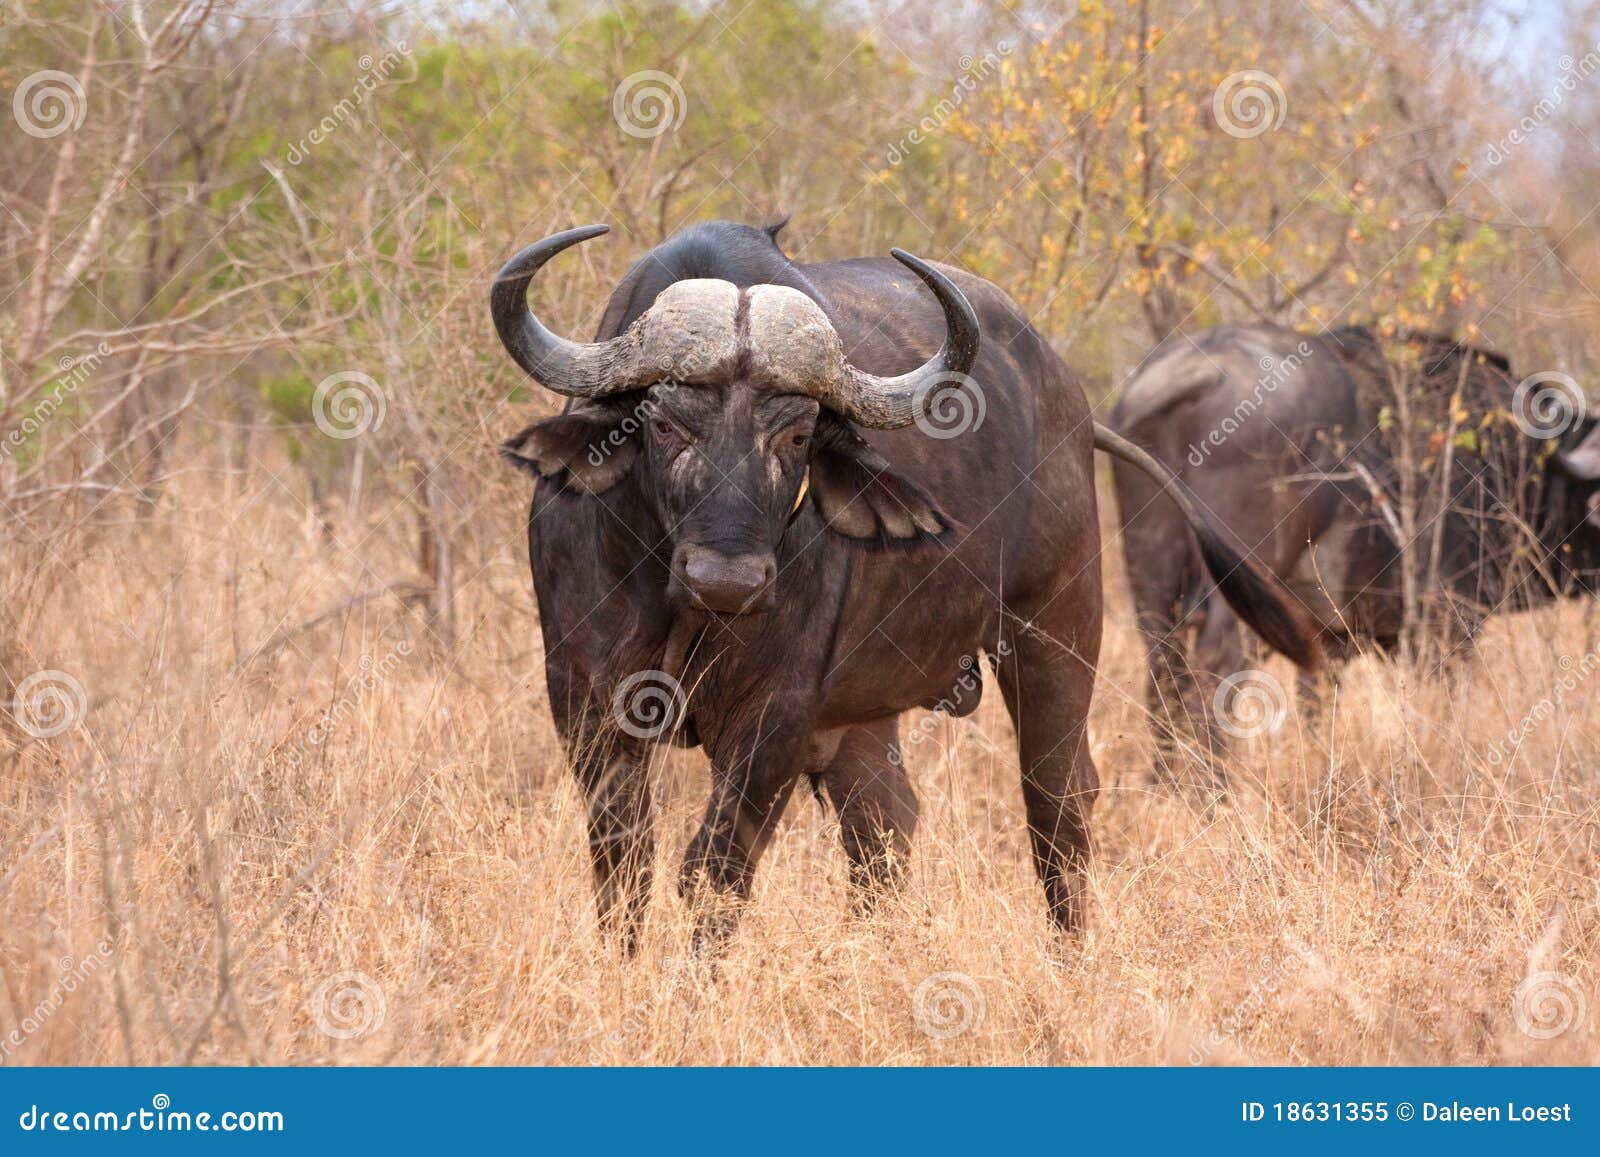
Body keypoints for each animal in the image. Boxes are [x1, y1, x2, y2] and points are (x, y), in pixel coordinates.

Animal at [492, 221, 1319, 947]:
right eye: (663, 422)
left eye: (797, 433)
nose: (726, 576)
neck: (680, 599)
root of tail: (1076, 410)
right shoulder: (585, 698)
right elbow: (623, 862)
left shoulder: (775, 715)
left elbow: (714, 871)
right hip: (865, 710)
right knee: (885, 822)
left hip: (1060, 627)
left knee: (1058, 800)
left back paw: (1071, 953)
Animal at [1110, 323, 1600, 780]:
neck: (1515, 464)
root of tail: (1201, 370)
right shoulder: (1447, 622)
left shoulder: (1329, 639)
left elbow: (1316, 707)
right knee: (1217, 658)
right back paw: (1212, 783)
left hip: (1154, 575)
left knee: (1162, 661)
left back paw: (1164, 780)